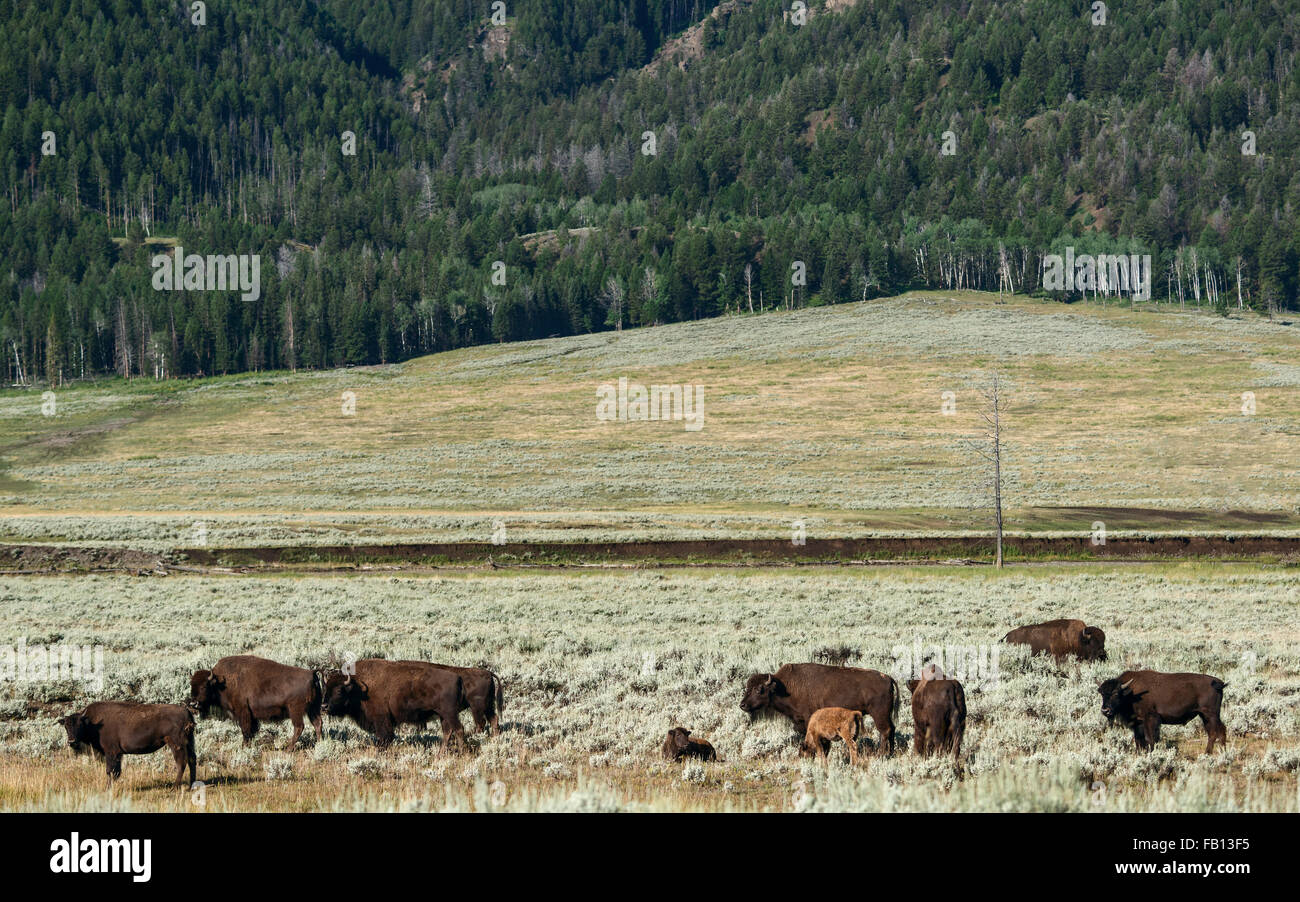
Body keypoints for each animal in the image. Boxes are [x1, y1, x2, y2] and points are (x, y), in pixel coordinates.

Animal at [59, 701, 196, 789]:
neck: (94, 723)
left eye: (79, 725)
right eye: (65, 726)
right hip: (189, 743)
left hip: (176, 744)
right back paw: (191, 785)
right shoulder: (118, 754)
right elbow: (116, 771)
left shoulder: (111, 752)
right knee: (192, 760)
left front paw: (108, 788)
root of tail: (186, 711)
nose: (71, 741)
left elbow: (110, 770)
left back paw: (174, 787)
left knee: (181, 763)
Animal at [190, 655, 324, 750]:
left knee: (299, 727)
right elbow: (251, 731)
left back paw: (289, 749)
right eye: (191, 685)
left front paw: (244, 747)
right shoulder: (251, 716)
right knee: (318, 724)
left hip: (295, 710)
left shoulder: (243, 712)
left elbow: (246, 731)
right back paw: (320, 744)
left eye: (204, 686)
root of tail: (311, 673)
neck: (221, 682)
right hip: (314, 708)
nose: (193, 704)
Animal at [321, 659, 466, 750]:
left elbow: (385, 737)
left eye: (339, 690)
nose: (324, 707)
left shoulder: (382, 720)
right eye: (325, 688)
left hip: (449, 713)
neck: (358, 687)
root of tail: (458, 678)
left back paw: (462, 752)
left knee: (459, 729)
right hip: (443, 716)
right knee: (448, 732)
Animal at [740, 662, 897, 755]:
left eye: (759, 689)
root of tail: (888, 678)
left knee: (885, 731)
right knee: (891, 729)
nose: (742, 705)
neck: (784, 687)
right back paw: (891, 753)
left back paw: (881, 755)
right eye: (747, 688)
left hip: (879, 714)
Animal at [1098, 670, 1227, 754]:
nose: (1105, 710)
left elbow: (1150, 739)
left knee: (1218, 731)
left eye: (1115, 693)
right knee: (1214, 732)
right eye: (1102, 694)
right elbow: (1139, 741)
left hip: (1211, 714)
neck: (1131, 692)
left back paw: (1215, 753)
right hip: (1204, 715)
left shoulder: (1150, 719)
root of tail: (1219, 682)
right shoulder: (1138, 723)